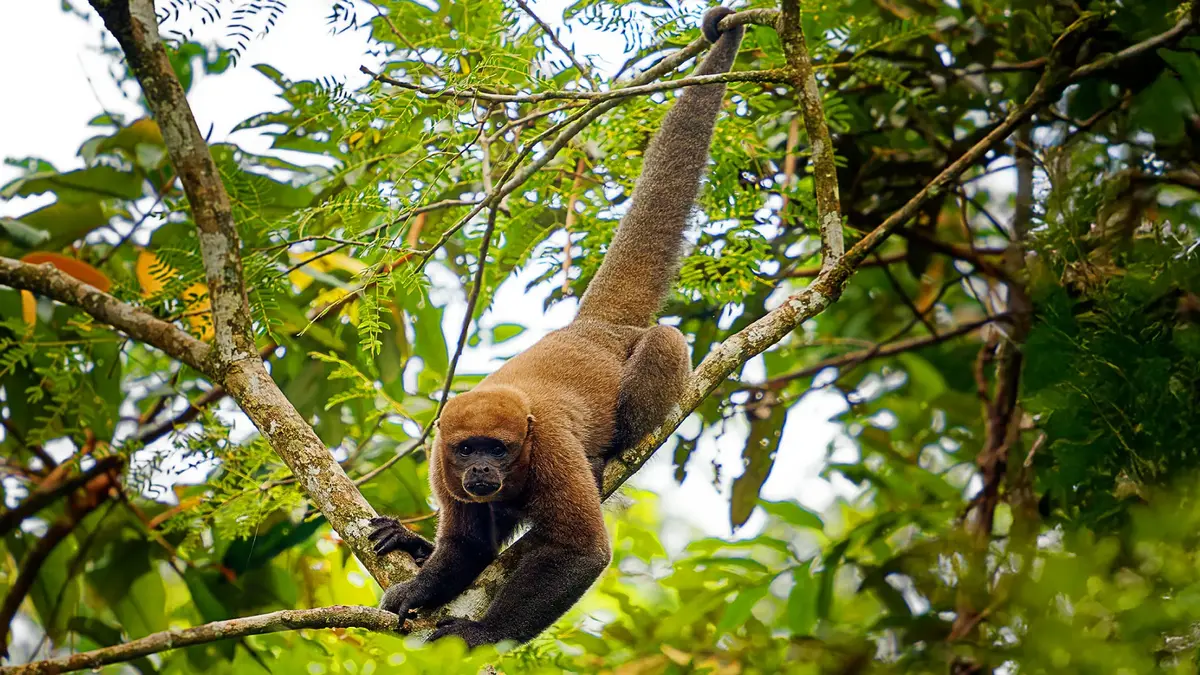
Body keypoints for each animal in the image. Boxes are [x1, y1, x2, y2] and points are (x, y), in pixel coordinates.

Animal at [367, 6, 745, 648]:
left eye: (497, 448)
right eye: (467, 449)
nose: (482, 470)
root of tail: (592, 326)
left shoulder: (549, 450)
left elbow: (582, 550)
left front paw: (481, 634)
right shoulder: (440, 463)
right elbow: (466, 546)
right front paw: (420, 585)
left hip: (649, 360)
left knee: (665, 342)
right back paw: (410, 545)